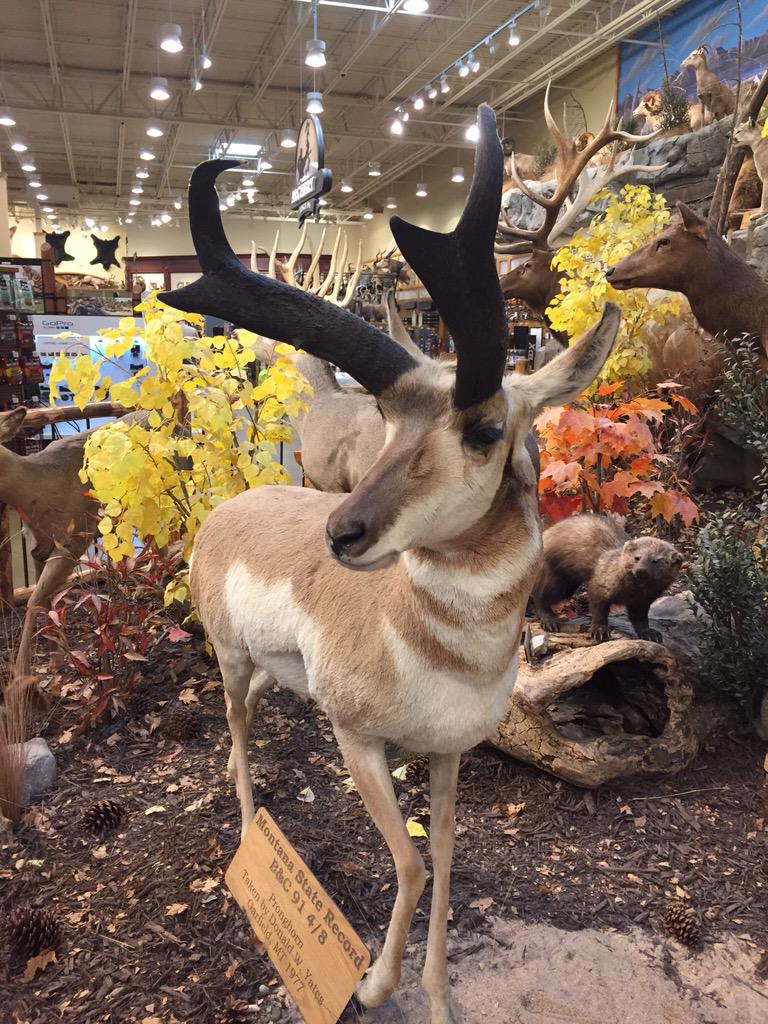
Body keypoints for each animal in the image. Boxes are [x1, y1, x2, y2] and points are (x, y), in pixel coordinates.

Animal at [159, 105, 620, 1023]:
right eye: (387, 416)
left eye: (485, 428)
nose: (343, 532)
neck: (436, 640)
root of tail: (233, 506)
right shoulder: (356, 738)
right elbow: (406, 861)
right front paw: (373, 983)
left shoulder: (448, 752)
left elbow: (441, 853)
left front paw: (437, 995)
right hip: (229, 658)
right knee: (233, 727)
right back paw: (249, 829)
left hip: (266, 670)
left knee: (248, 717)